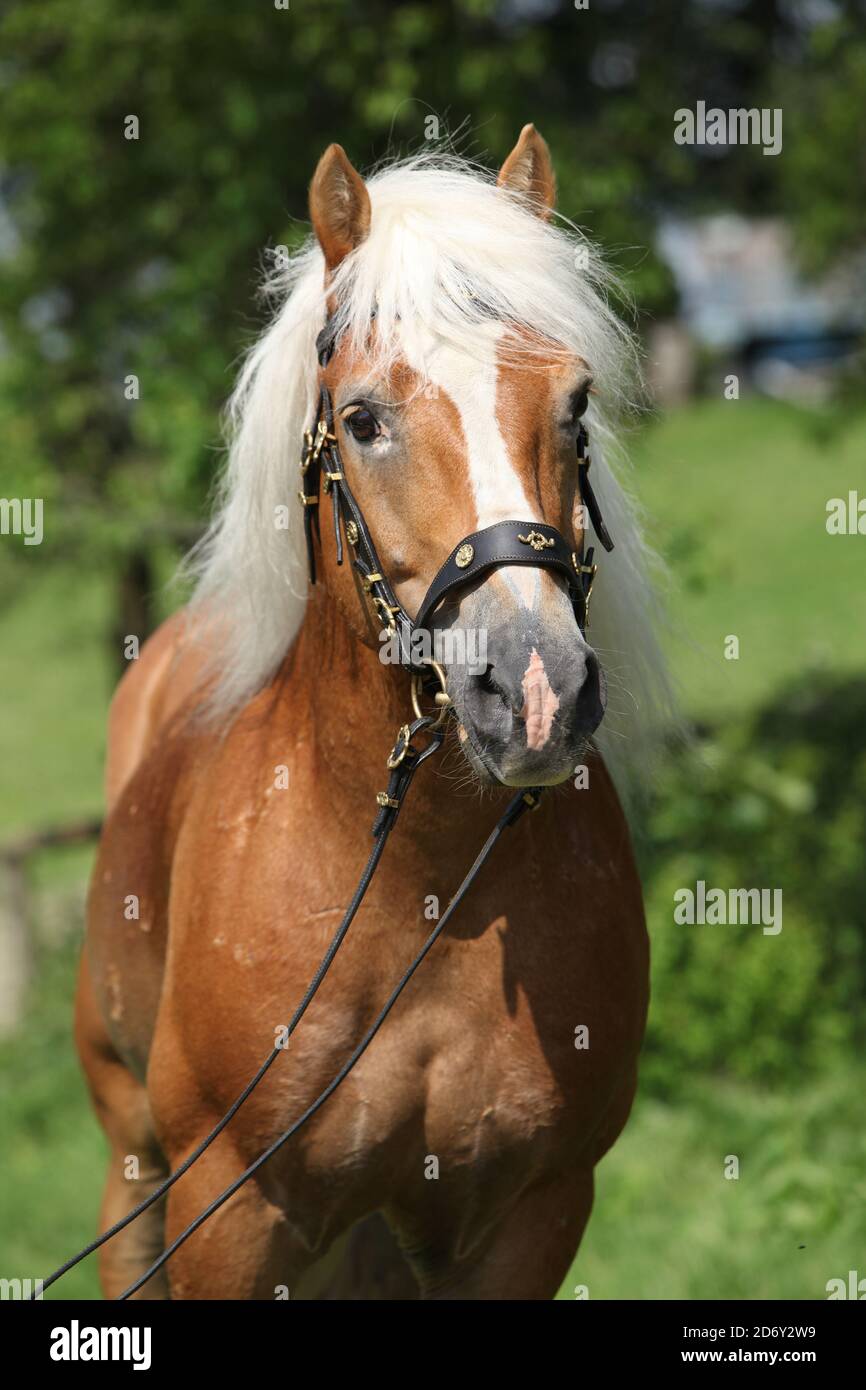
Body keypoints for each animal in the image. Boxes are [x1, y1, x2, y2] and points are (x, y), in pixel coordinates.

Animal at [74, 124, 672, 1300]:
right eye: (362, 419)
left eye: (574, 404)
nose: (536, 692)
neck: (417, 890)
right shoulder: (229, 1213)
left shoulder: (533, 1211)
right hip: (134, 1177)